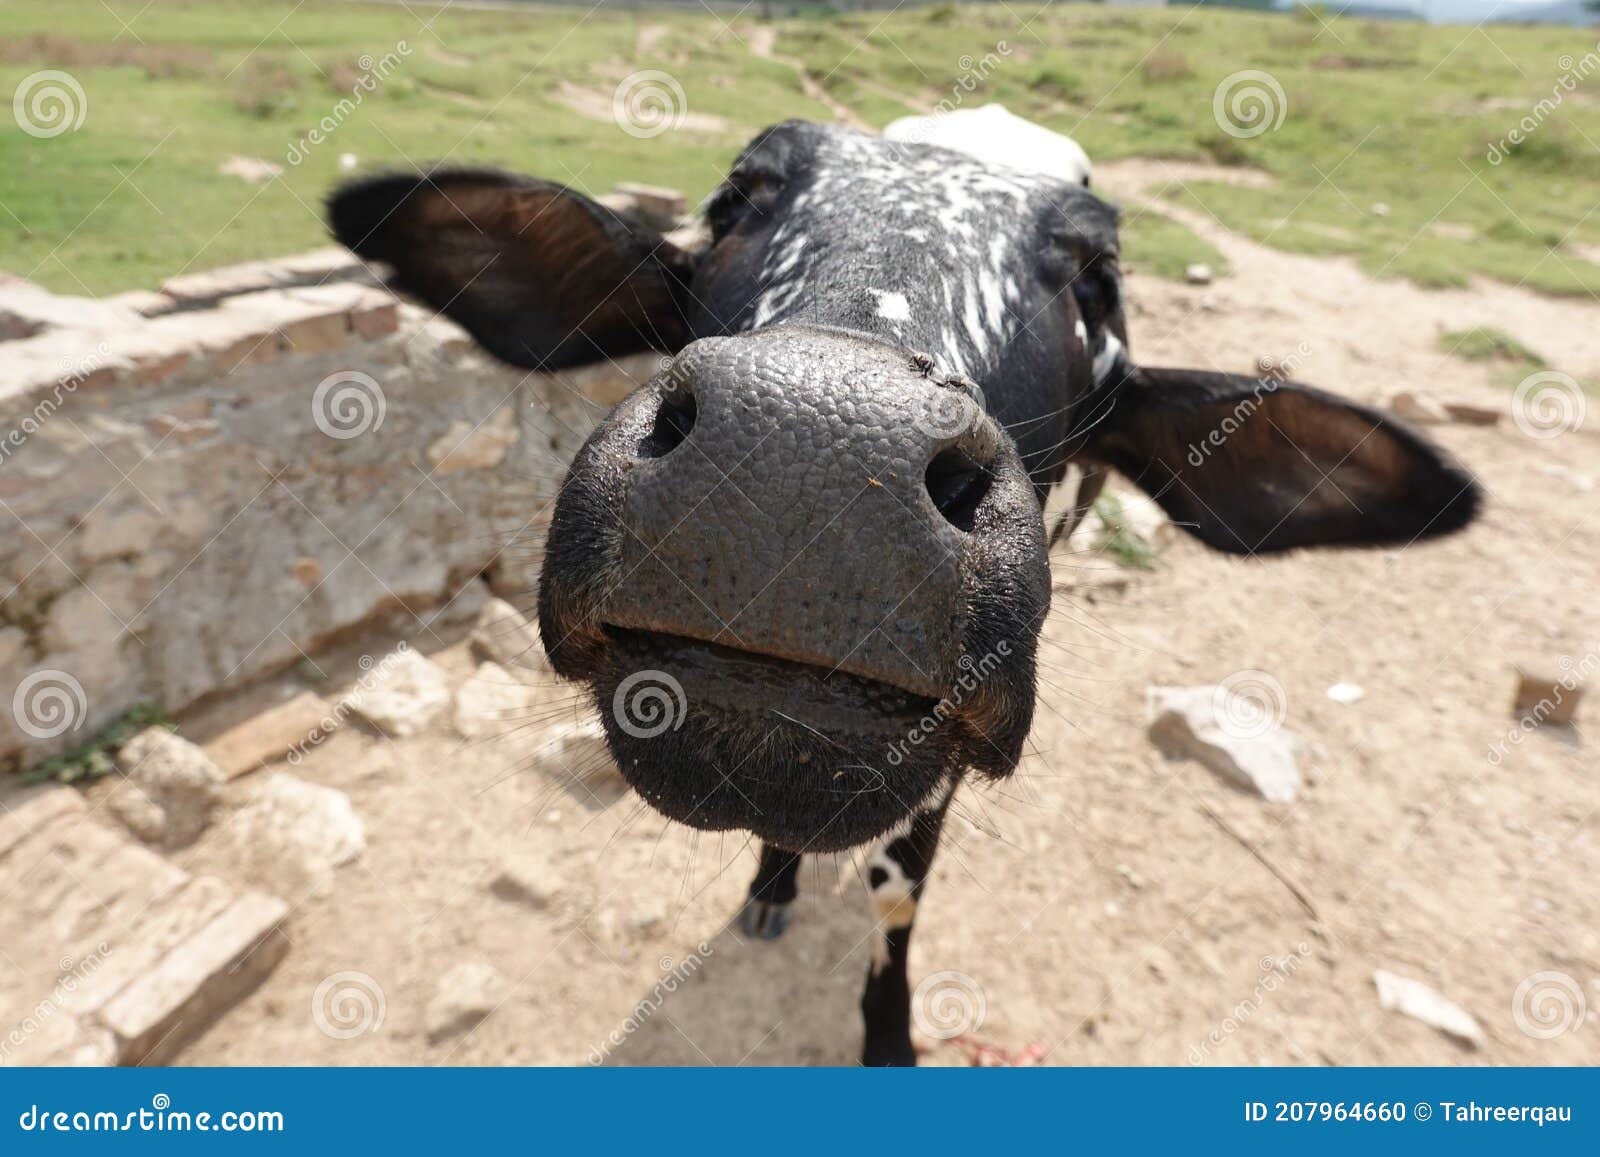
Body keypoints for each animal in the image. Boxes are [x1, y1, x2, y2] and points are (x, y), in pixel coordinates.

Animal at [327, 118, 1479, 1066]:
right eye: (732, 202)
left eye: (1097, 281)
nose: (807, 453)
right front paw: (770, 885)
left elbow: (897, 895)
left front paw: (889, 1036)